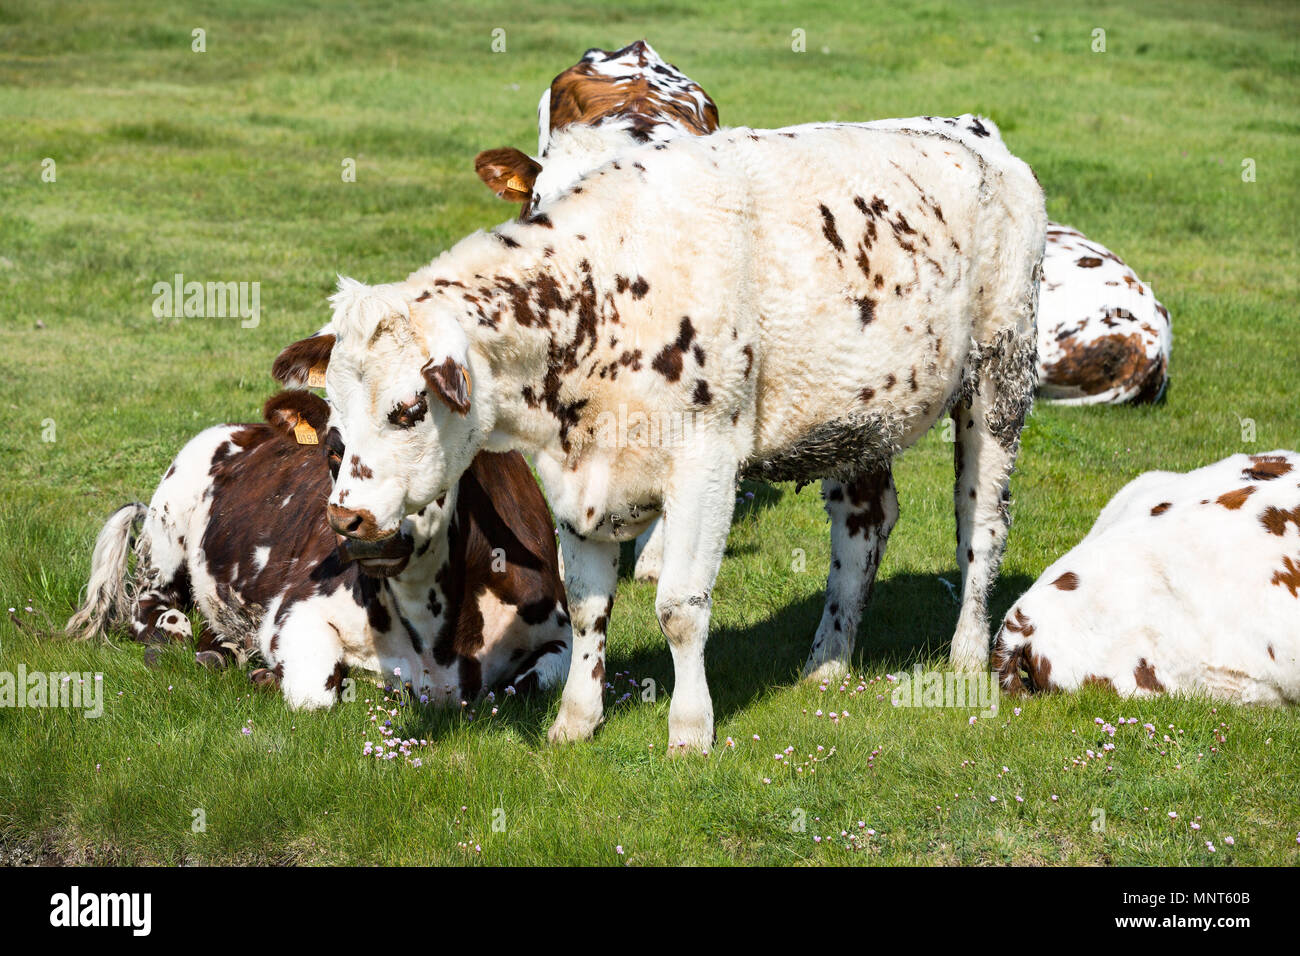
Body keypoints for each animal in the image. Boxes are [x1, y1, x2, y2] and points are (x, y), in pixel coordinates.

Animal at [66, 386, 571, 709]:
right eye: (334, 451)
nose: (351, 525)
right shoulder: (293, 610)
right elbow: (315, 692)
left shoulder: (558, 630)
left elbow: (535, 685)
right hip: (169, 525)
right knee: (151, 605)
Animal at [296, 117, 1047, 750]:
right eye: (335, 422)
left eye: (407, 409)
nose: (345, 515)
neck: (604, 295)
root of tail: (978, 135)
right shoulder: (574, 476)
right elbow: (588, 604)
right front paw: (577, 718)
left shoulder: (705, 460)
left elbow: (680, 606)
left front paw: (690, 727)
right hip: (860, 416)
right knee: (864, 527)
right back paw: (828, 659)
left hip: (998, 378)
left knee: (979, 525)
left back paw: (966, 655)